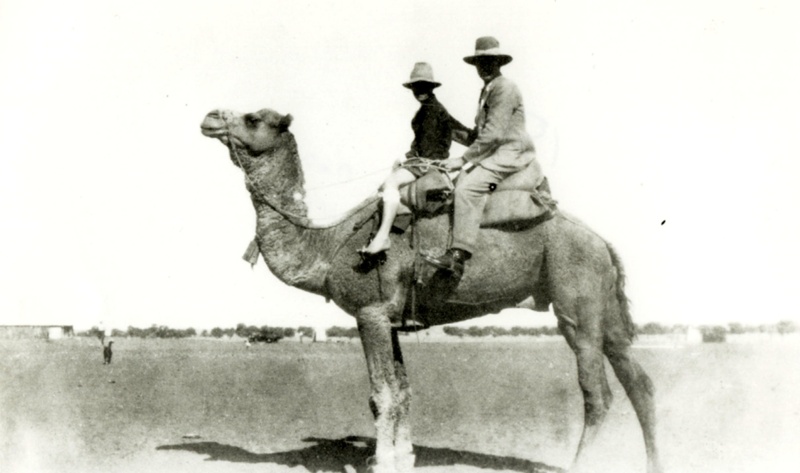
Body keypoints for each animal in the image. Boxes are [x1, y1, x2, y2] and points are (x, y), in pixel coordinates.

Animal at [200, 107, 663, 473]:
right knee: (638, 381)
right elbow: (403, 391)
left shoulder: (368, 311)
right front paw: (404, 456)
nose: (210, 117)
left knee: (597, 392)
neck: (329, 246)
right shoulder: (389, 318)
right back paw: (656, 461)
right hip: (604, 305)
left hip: (576, 300)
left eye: (252, 118)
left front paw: (384, 463)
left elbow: (382, 394)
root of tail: (601, 241)